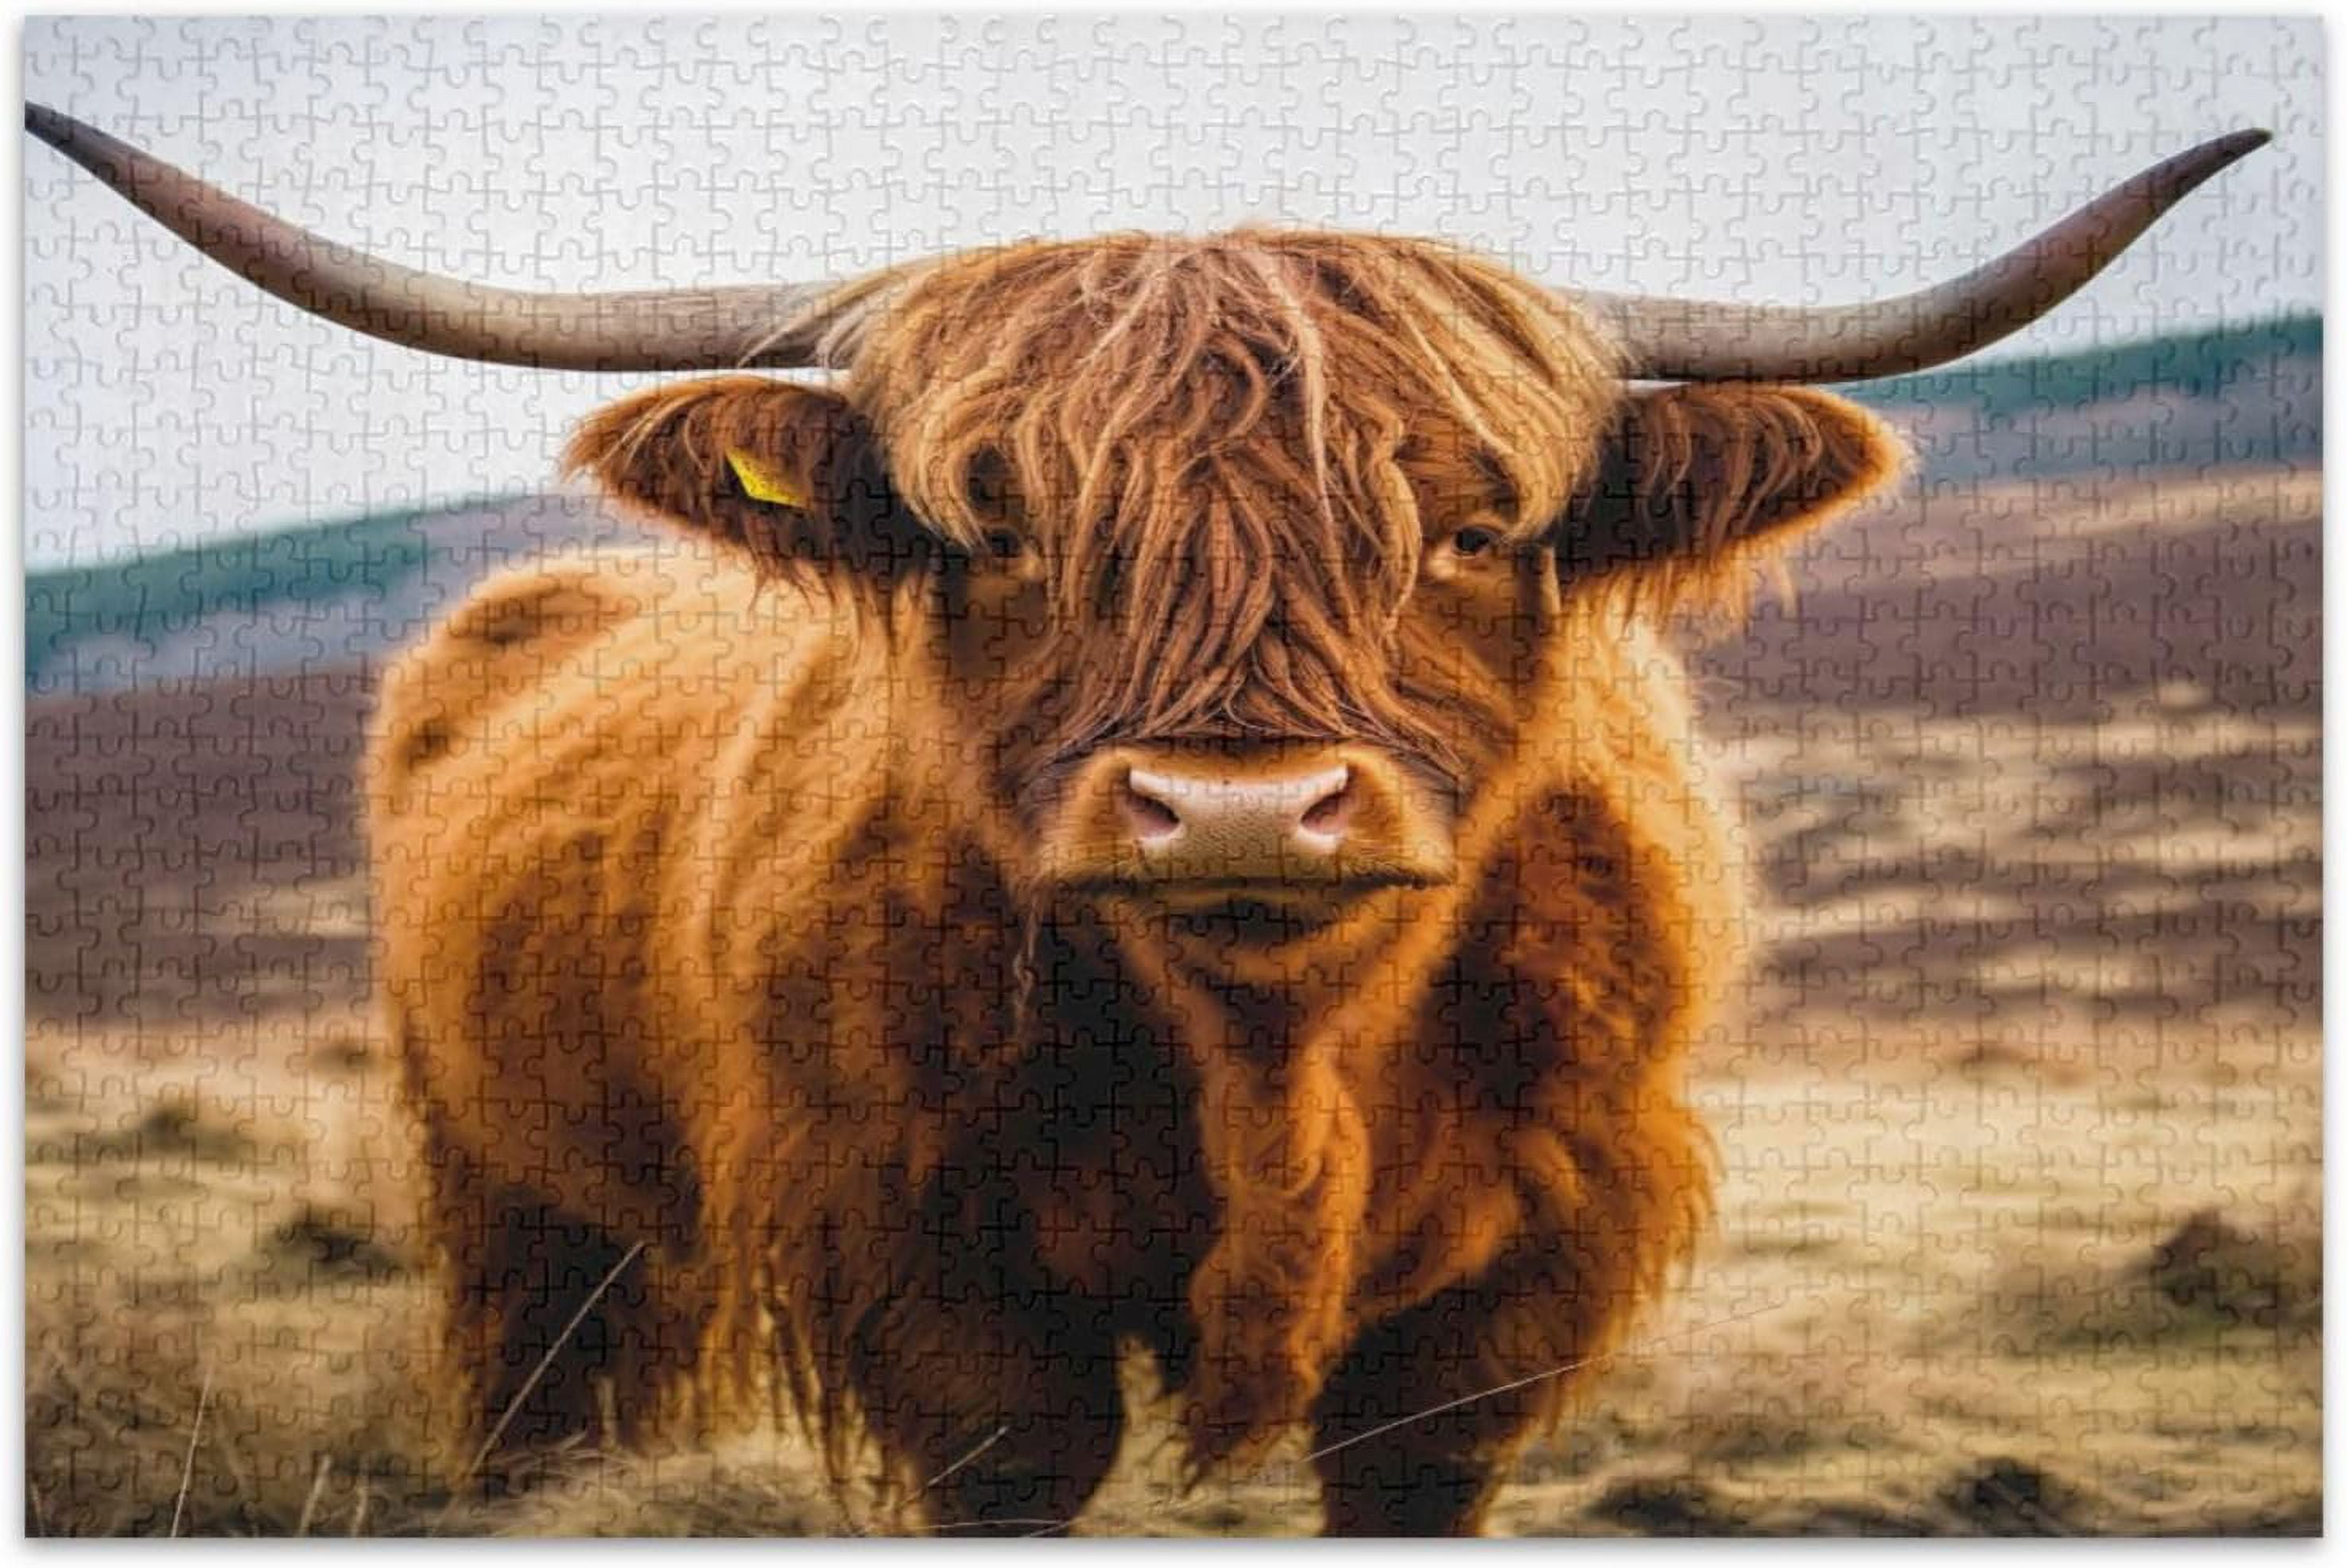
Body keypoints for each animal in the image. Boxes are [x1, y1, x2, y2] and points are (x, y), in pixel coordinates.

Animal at [25, 105, 2268, 1535]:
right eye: (1002, 523)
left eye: (1471, 529)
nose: (1239, 805)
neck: (1267, 1058)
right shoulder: (939, 1284)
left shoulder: (1497, 1298)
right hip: (508, 1182)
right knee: (530, 1387)